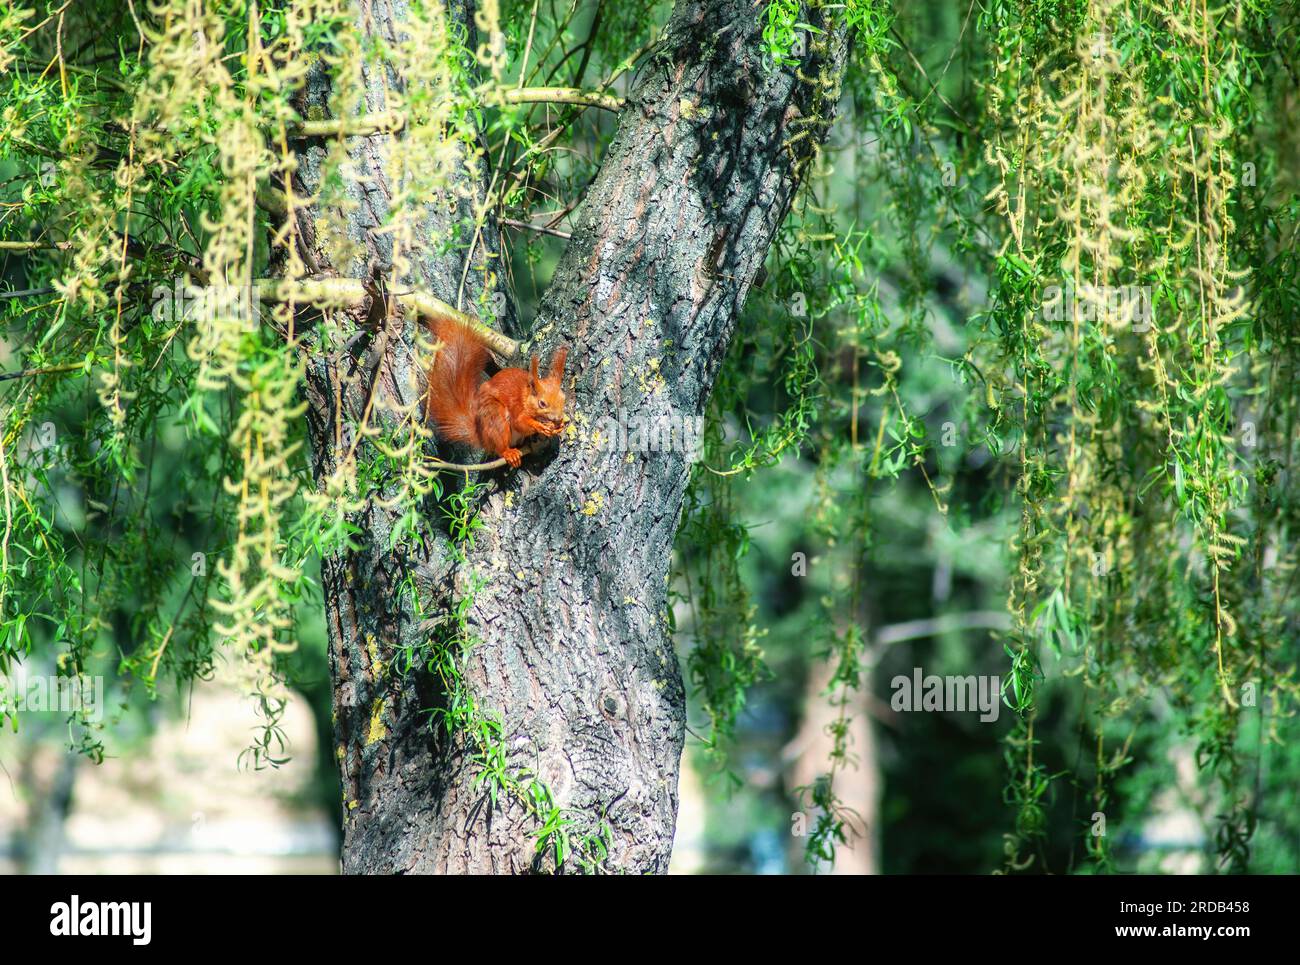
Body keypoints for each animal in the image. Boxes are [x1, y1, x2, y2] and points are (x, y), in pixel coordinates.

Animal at [423, 315, 569, 468]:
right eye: (542, 403)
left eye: (563, 399)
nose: (558, 418)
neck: (525, 395)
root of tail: (482, 437)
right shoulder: (517, 406)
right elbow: (520, 423)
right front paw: (539, 426)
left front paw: (559, 426)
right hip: (495, 417)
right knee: (500, 446)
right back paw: (509, 453)